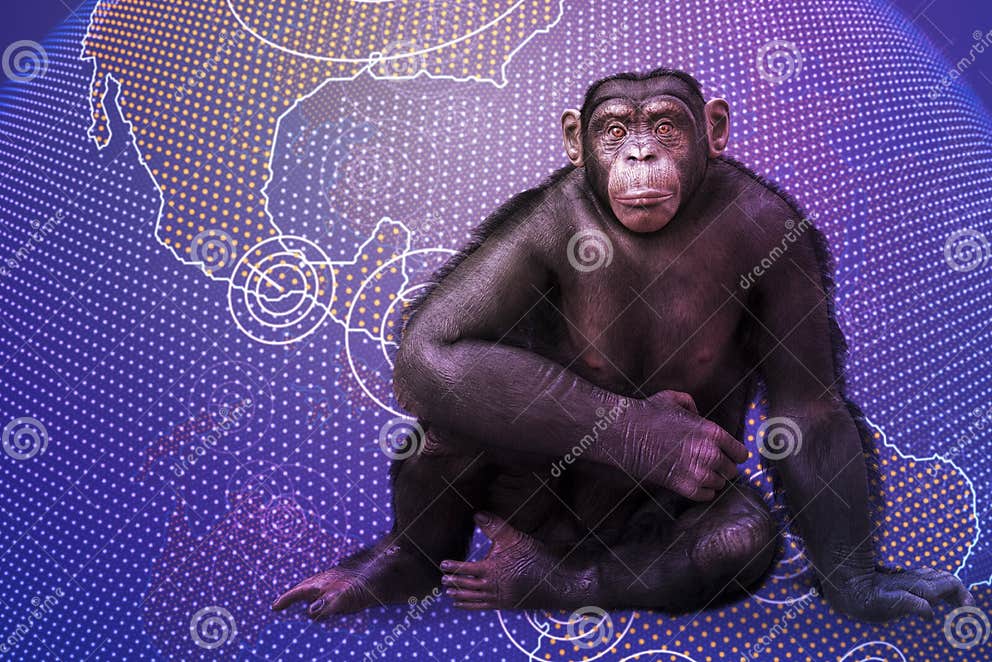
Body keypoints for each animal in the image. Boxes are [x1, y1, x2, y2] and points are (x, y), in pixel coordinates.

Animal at [273, 68, 973, 622]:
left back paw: (532, 581)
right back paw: (396, 569)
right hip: (526, 508)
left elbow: (809, 408)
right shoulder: (539, 220)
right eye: (613, 131)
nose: (638, 154)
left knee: (733, 535)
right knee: (453, 410)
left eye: (664, 125)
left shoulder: (784, 233)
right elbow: (438, 344)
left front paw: (861, 589)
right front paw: (668, 439)